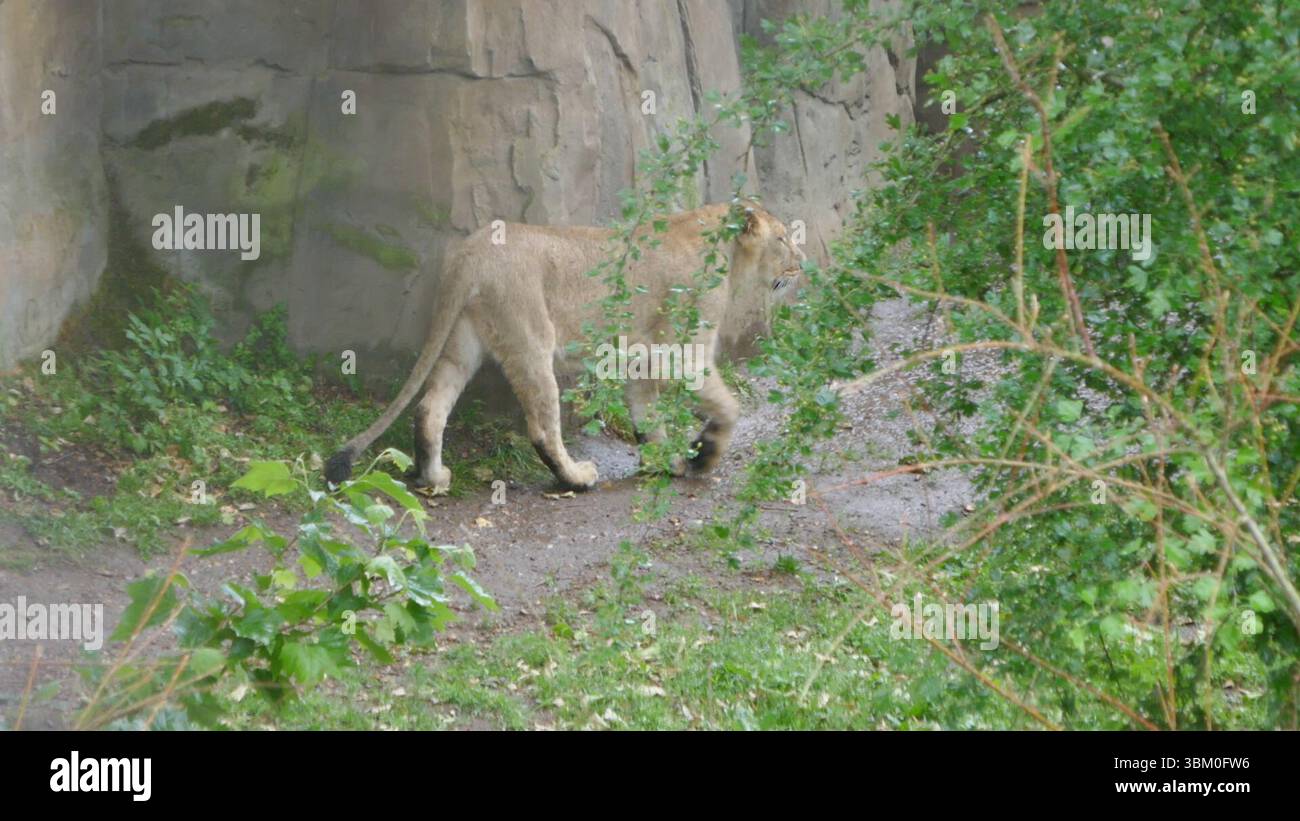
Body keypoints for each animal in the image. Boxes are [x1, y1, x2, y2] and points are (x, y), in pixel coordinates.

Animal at [325, 202, 804, 492]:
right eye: (783, 238)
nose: (802, 264)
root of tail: (471, 253)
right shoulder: (681, 353)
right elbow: (728, 406)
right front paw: (704, 456)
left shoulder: (641, 357)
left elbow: (647, 416)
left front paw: (663, 461)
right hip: (531, 338)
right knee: (541, 426)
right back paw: (576, 477)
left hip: (465, 339)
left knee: (430, 407)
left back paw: (433, 477)